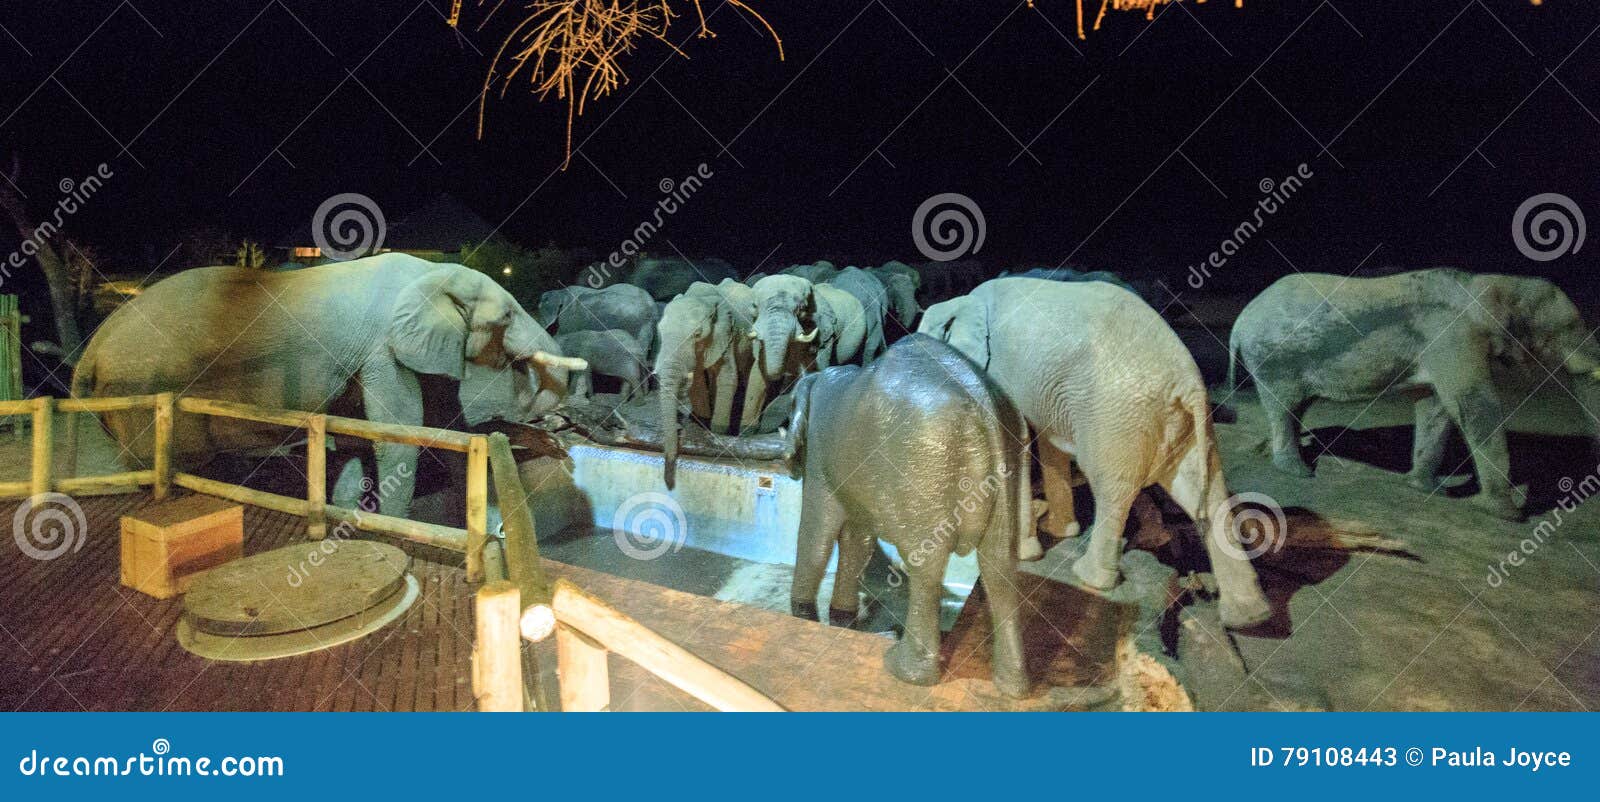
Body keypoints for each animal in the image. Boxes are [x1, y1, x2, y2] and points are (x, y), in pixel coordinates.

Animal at [69, 253, 587, 518]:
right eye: (507, 316)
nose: (562, 438)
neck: (430, 272)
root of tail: (92, 348)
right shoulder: (383, 347)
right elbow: (401, 432)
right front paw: (391, 525)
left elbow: (415, 427)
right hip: (140, 392)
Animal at [656, 279, 759, 488]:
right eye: (659, 329)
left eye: (697, 335)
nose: (669, 483)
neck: (703, 300)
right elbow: (698, 383)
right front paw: (701, 423)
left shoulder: (727, 335)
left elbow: (728, 378)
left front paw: (718, 433)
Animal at [785, 334, 1031, 697]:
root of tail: (983, 400)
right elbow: (858, 539)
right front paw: (841, 616)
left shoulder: (819, 453)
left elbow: (818, 531)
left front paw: (802, 615)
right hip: (1008, 467)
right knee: (999, 564)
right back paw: (1013, 688)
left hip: (922, 466)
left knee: (926, 566)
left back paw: (903, 670)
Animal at [920, 277, 1271, 630]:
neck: (963, 301)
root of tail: (1187, 381)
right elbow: (1048, 443)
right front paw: (1059, 532)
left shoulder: (1003, 374)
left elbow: (1019, 441)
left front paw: (1025, 553)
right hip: (1181, 424)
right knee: (1206, 489)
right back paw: (1250, 616)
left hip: (1116, 418)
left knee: (1113, 488)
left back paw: (1090, 577)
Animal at [1228, 269, 1600, 521]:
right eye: (1566, 329)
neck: (1487, 282)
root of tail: (1240, 320)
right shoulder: (1453, 337)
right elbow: (1474, 405)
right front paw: (1505, 514)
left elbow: (1435, 408)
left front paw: (1428, 489)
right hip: (1274, 358)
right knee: (1284, 407)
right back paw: (1299, 472)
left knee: (1296, 408)